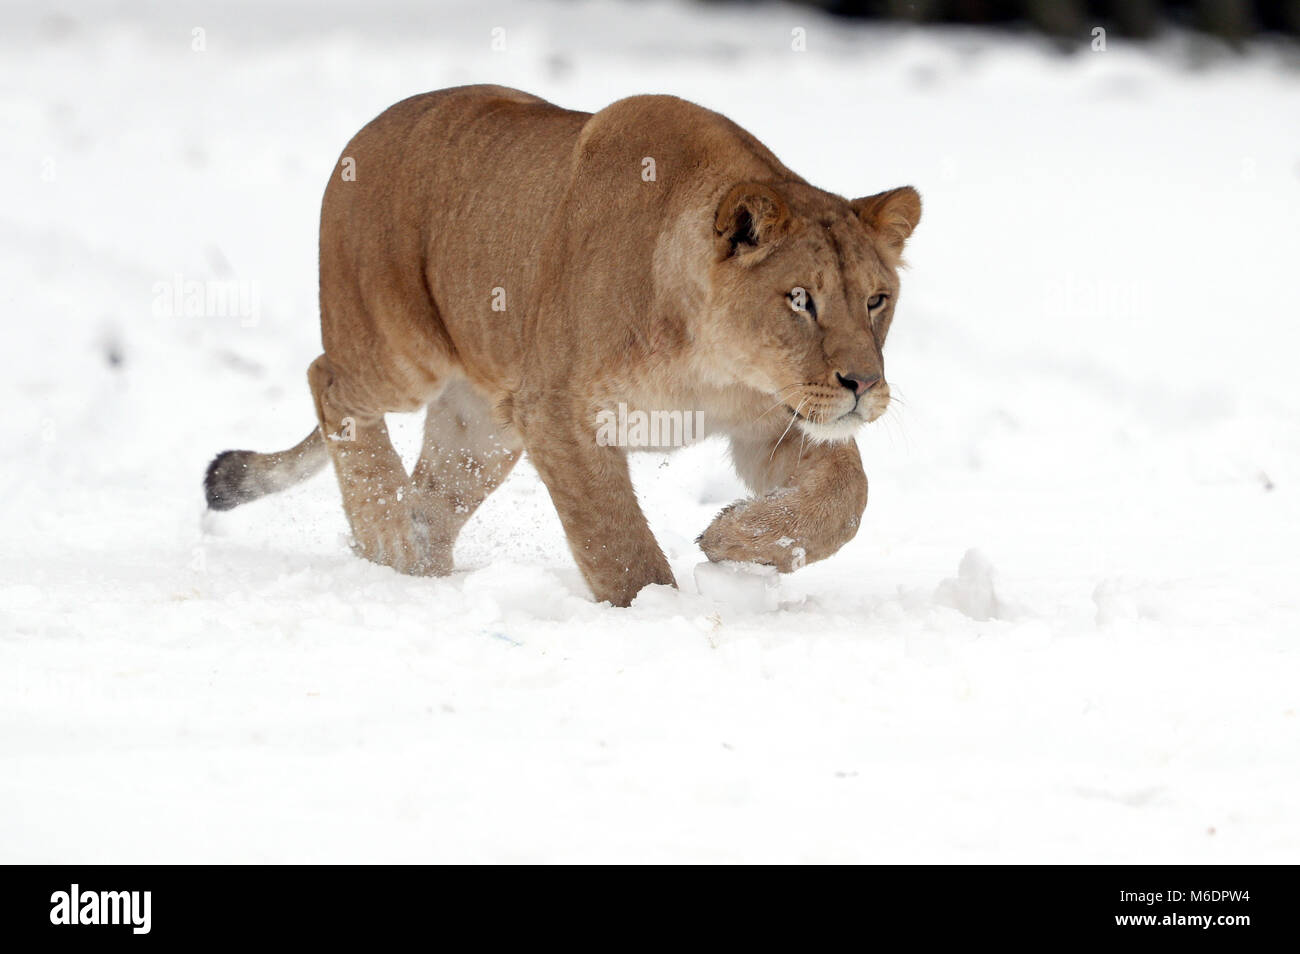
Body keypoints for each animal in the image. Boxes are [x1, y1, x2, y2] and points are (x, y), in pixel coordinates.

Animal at [204, 85, 921, 607]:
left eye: (875, 300)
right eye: (800, 299)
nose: (863, 385)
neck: (714, 365)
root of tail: (361, 137)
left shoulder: (771, 421)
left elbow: (846, 499)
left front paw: (734, 538)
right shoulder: (558, 413)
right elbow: (618, 544)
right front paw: (656, 612)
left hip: (481, 428)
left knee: (431, 501)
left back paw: (417, 569)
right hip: (400, 352)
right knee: (328, 381)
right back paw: (383, 533)